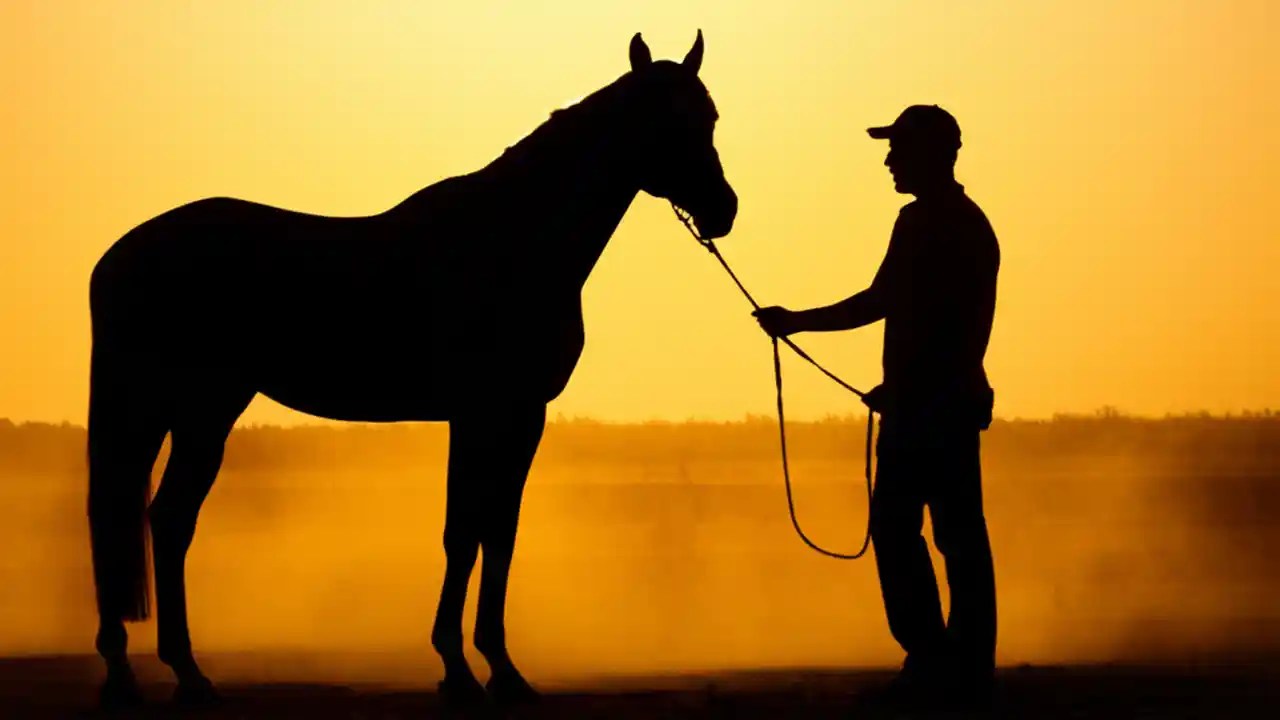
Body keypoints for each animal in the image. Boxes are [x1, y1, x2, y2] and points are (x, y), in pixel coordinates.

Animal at [86, 30, 736, 707]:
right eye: (664, 121)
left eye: (711, 117)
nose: (723, 211)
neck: (514, 242)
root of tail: (118, 256)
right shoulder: (482, 414)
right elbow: (465, 531)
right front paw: (460, 666)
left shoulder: (519, 416)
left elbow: (497, 532)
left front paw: (500, 669)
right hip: (196, 408)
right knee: (159, 516)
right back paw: (171, 671)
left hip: (180, 410)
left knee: (155, 517)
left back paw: (151, 669)